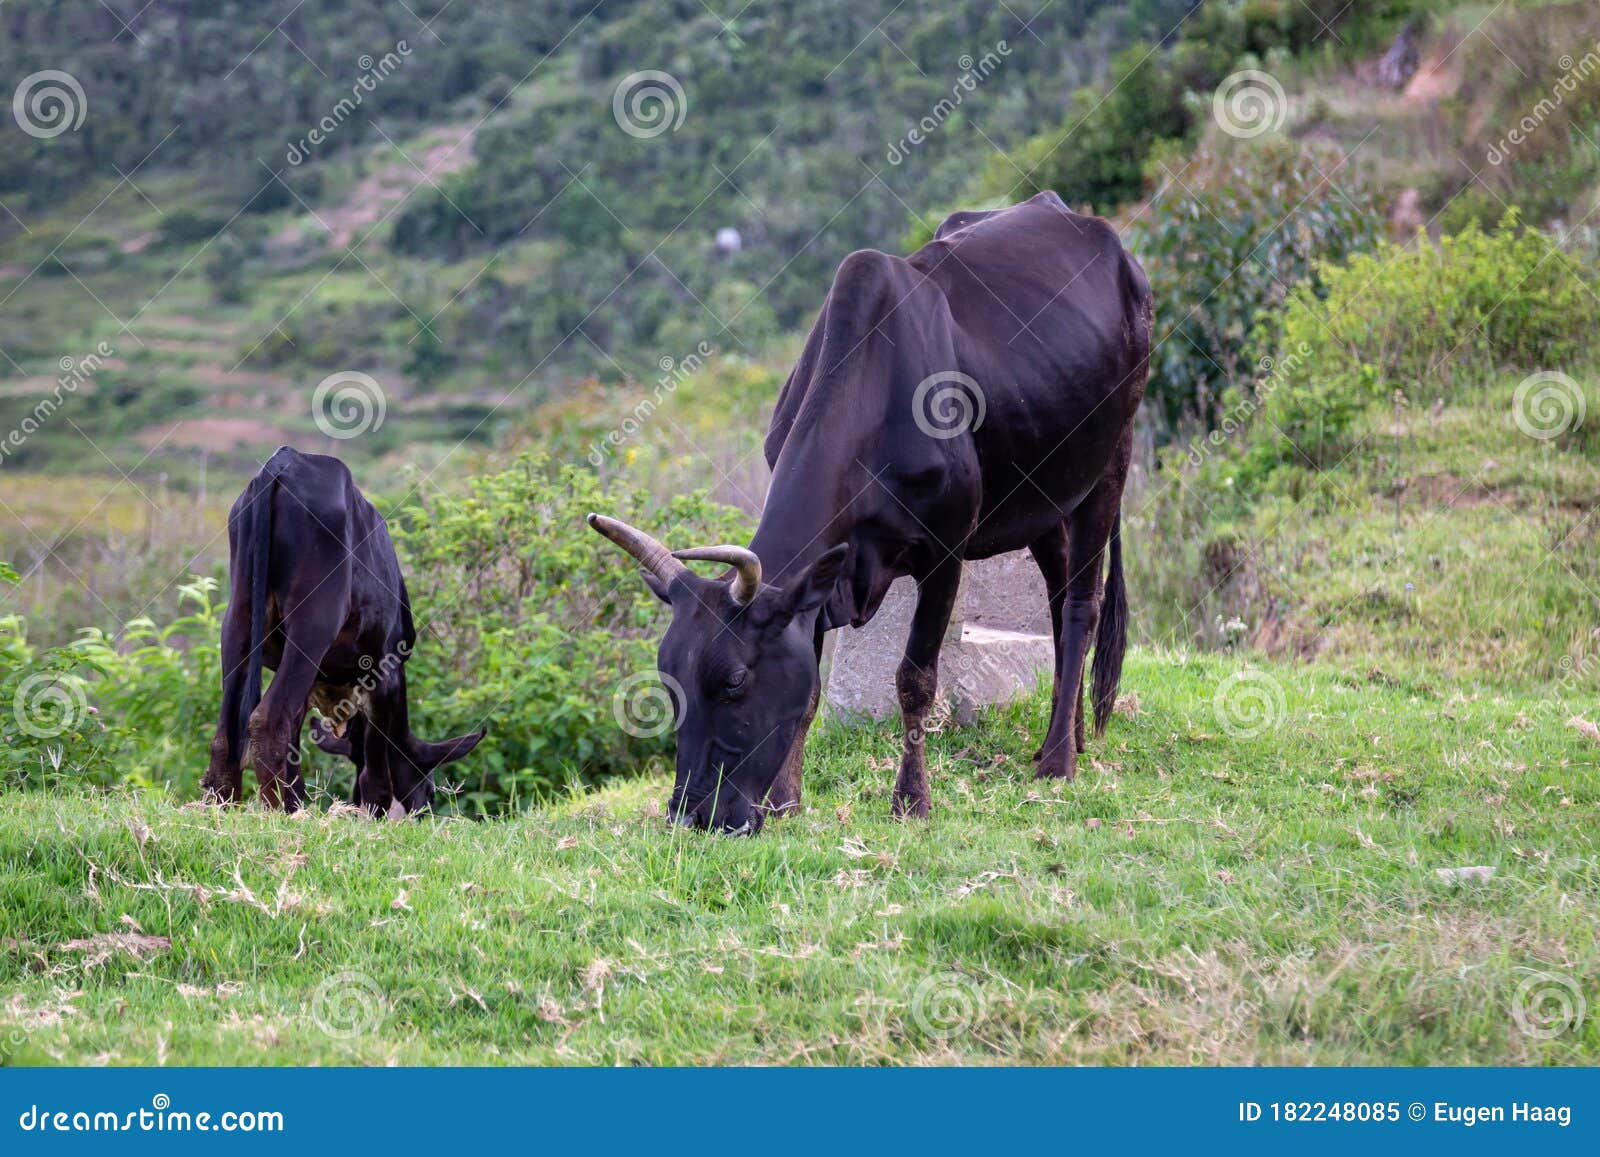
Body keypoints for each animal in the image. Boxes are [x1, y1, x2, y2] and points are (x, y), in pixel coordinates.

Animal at [202, 446, 485, 814]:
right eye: (430, 789)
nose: (421, 812)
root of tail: (284, 462)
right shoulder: (384, 670)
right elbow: (375, 775)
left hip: (238, 619)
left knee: (226, 735)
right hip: (313, 622)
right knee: (266, 720)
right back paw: (281, 813)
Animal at [589, 191, 1151, 834]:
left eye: (734, 681)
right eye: (669, 679)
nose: (692, 815)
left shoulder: (945, 551)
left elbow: (915, 679)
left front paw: (912, 799)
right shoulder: (819, 579)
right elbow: (808, 689)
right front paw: (786, 800)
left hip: (1111, 462)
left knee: (1083, 603)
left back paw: (1059, 761)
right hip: (1042, 498)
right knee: (1059, 597)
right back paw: (1069, 737)